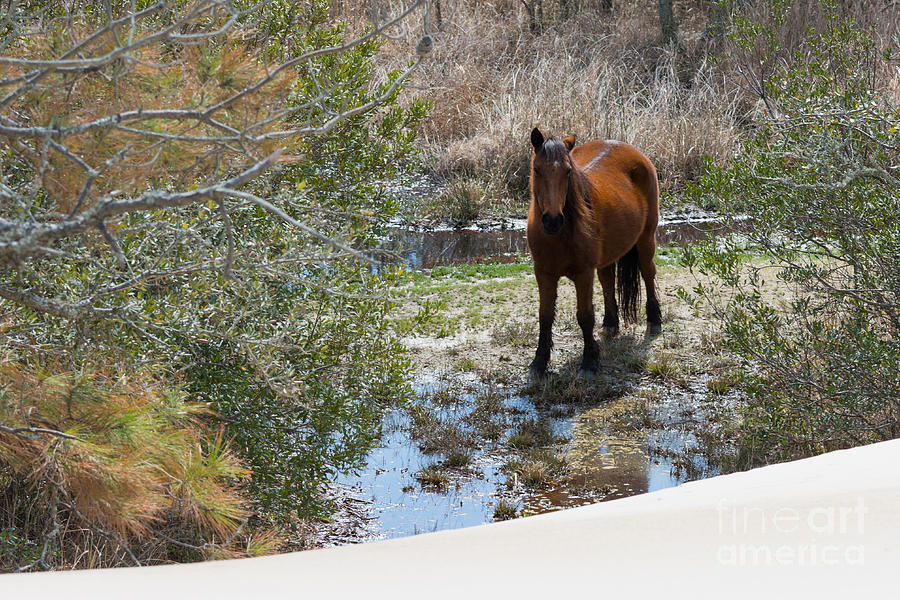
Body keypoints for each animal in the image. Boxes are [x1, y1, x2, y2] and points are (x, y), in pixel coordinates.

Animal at [526, 127, 662, 380]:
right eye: (537, 169)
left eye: (568, 171)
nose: (552, 220)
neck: (559, 235)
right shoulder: (544, 274)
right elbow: (545, 316)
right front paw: (539, 362)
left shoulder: (583, 274)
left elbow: (585, 316)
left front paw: (589, 361)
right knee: (608, 280)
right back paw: (610, 324)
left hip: (646, 239)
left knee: (648, 273)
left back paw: (655, 319)